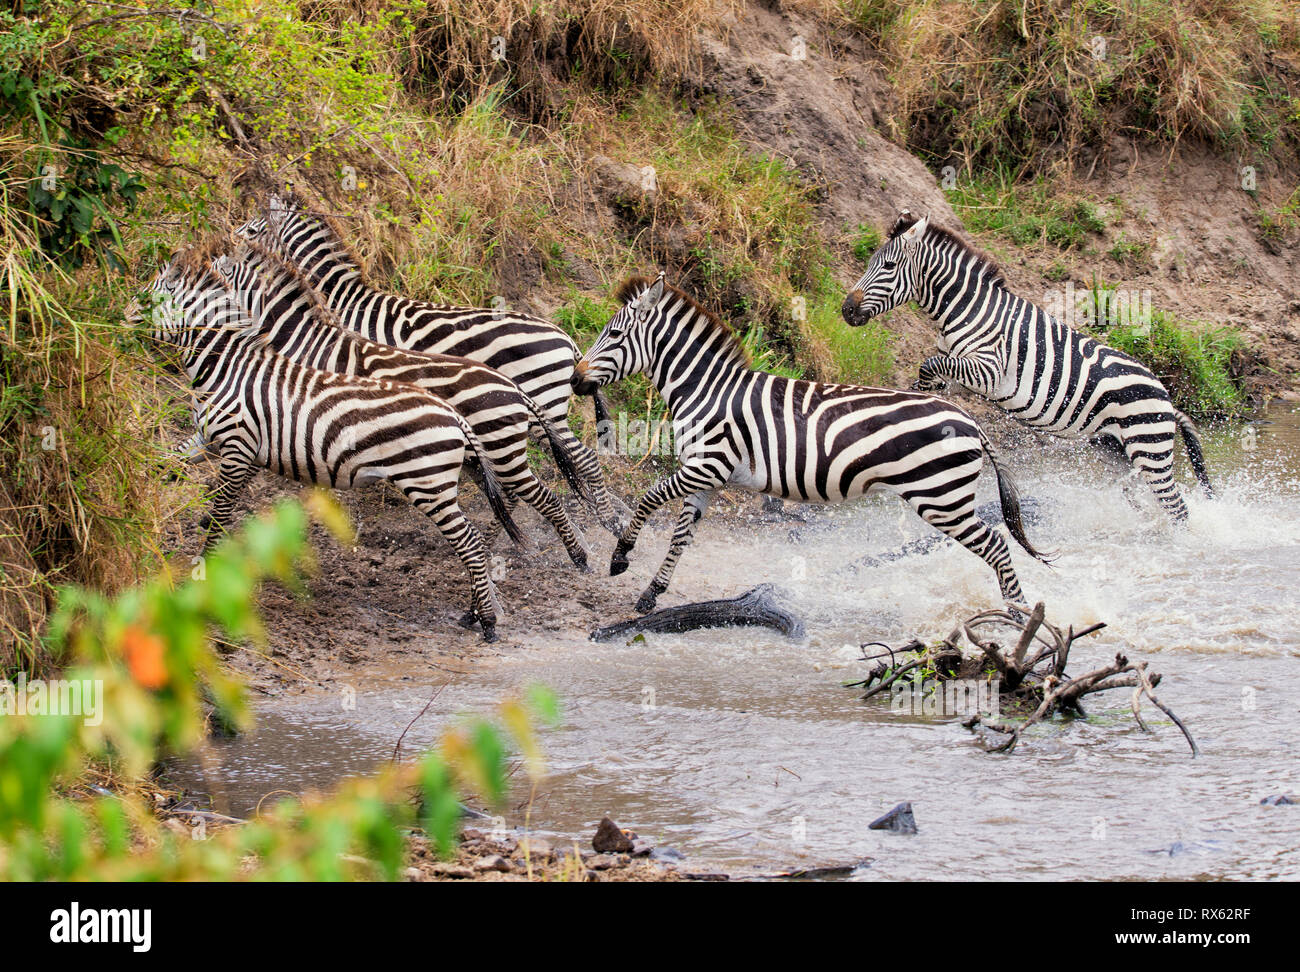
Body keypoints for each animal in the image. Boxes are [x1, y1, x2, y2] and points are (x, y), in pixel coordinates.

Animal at [131, 255, 521, 641]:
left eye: (149, 299)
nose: (123, 315)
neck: (228, 368)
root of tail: (455, 415)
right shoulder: (210, 440)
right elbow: (165, 463)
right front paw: (133, 505)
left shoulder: (238, 447)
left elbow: (221, 515)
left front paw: (204, 575)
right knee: (477, 537)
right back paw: (477, 613)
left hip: (428, 484)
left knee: (470, 542)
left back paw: (487, 621)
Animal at [234, 195, 627, 534]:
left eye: (251, 231)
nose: (227, 240)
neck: (346, 304)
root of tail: (568, 341)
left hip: (543, 401)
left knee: (583, 458)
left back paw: (605, 521)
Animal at [573, 272, 1049, 614]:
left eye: (613, 336)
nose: (576, 380)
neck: (707, 390)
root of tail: (970, 420)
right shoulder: (705, 477)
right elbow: (680, 537)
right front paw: (652, 593)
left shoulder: (708, 465)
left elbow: (648, 499)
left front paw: (621, 556)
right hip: (945, 497)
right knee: (997, 544)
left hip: (940, 498)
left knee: (996, 545)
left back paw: (1018, 616)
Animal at [842, 212, 1213, 520]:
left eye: (889, 266)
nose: (847, 310)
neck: (968, 308)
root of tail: (1166, 397)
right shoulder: (959, 373)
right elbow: (928, 373)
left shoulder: (989, 371)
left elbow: (929, 363)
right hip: (1117, 451)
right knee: (1141, 497)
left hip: (1149, 447)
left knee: (1176, 507)